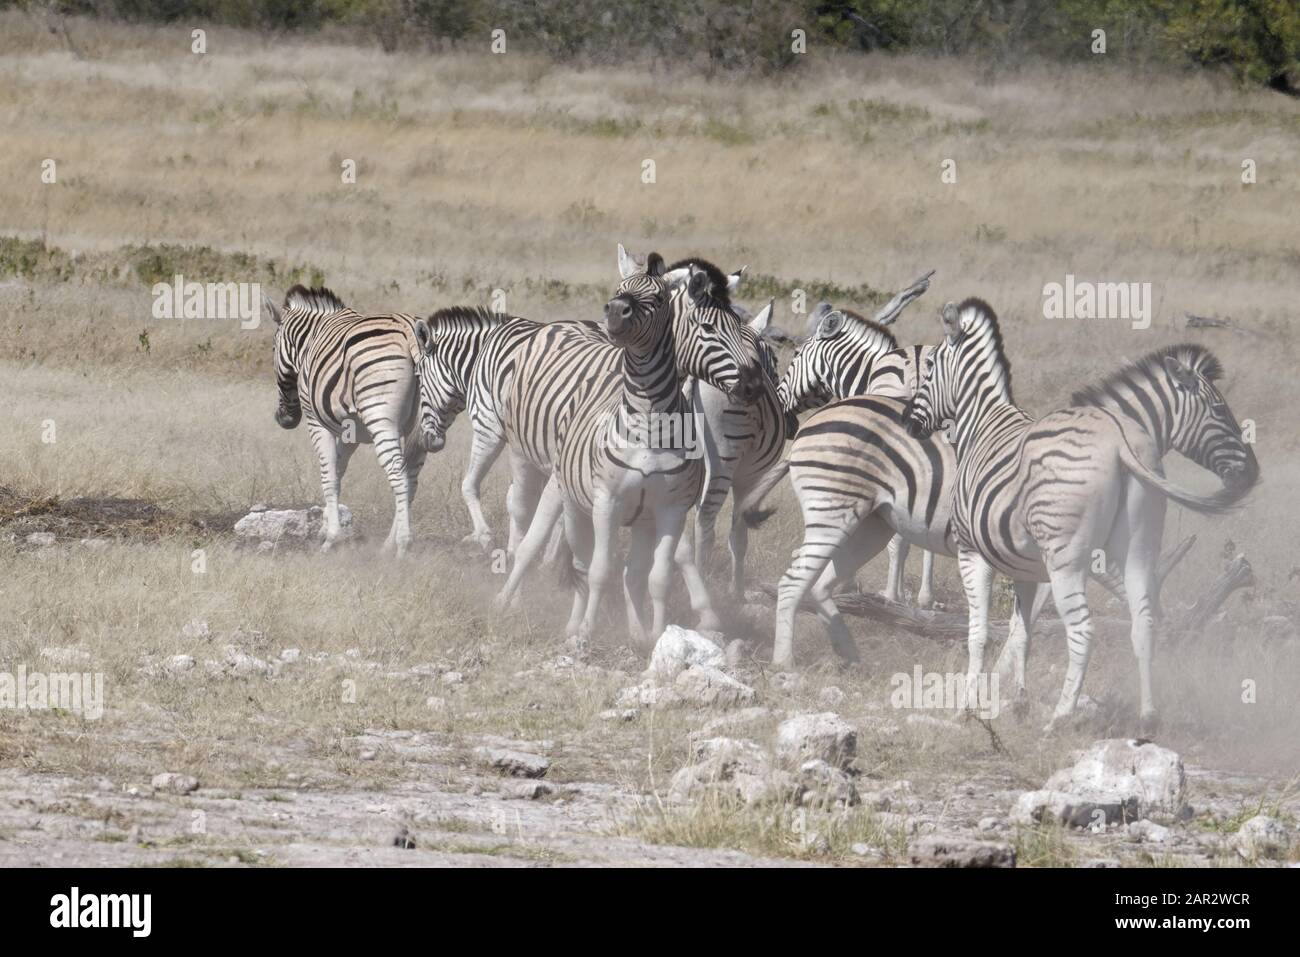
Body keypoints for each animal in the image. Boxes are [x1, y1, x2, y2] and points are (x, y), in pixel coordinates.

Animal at [267, 285, 426, 557]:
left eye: (273, 349)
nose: (284, 419)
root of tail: (409, 332)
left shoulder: (316, 421)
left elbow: (328, 474)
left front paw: (331, 539)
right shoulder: (350, 431)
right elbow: (338, 470)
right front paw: (324, 528)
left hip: (380, 418)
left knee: (397, 471)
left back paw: (403, 545)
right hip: (426, 420)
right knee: (411, 477)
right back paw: (388, 543)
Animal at [496, 254, 767, 642]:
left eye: (741, 327)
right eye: (708, 328)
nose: (753, 385)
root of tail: (563, 322)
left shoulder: (669, 501)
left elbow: (666, 558)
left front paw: (684, 617)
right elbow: (545, 543)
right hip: (525, 456)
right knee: (523, 522)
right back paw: (513, 595)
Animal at [904, 299, 1258, 731]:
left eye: (930, 365)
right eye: (1219, 409)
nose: (908, 421)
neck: (984, 423)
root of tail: (1118, 442)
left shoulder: (975, 552)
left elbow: (982, 633)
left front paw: (970, 706)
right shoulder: (1027, 567)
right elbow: (1022, 632)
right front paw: (1017, 702)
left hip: (1066, 559)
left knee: (1083, 630)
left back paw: (1060, 716)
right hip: (1139, 547)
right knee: (1143, 622)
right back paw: (1147, 716)